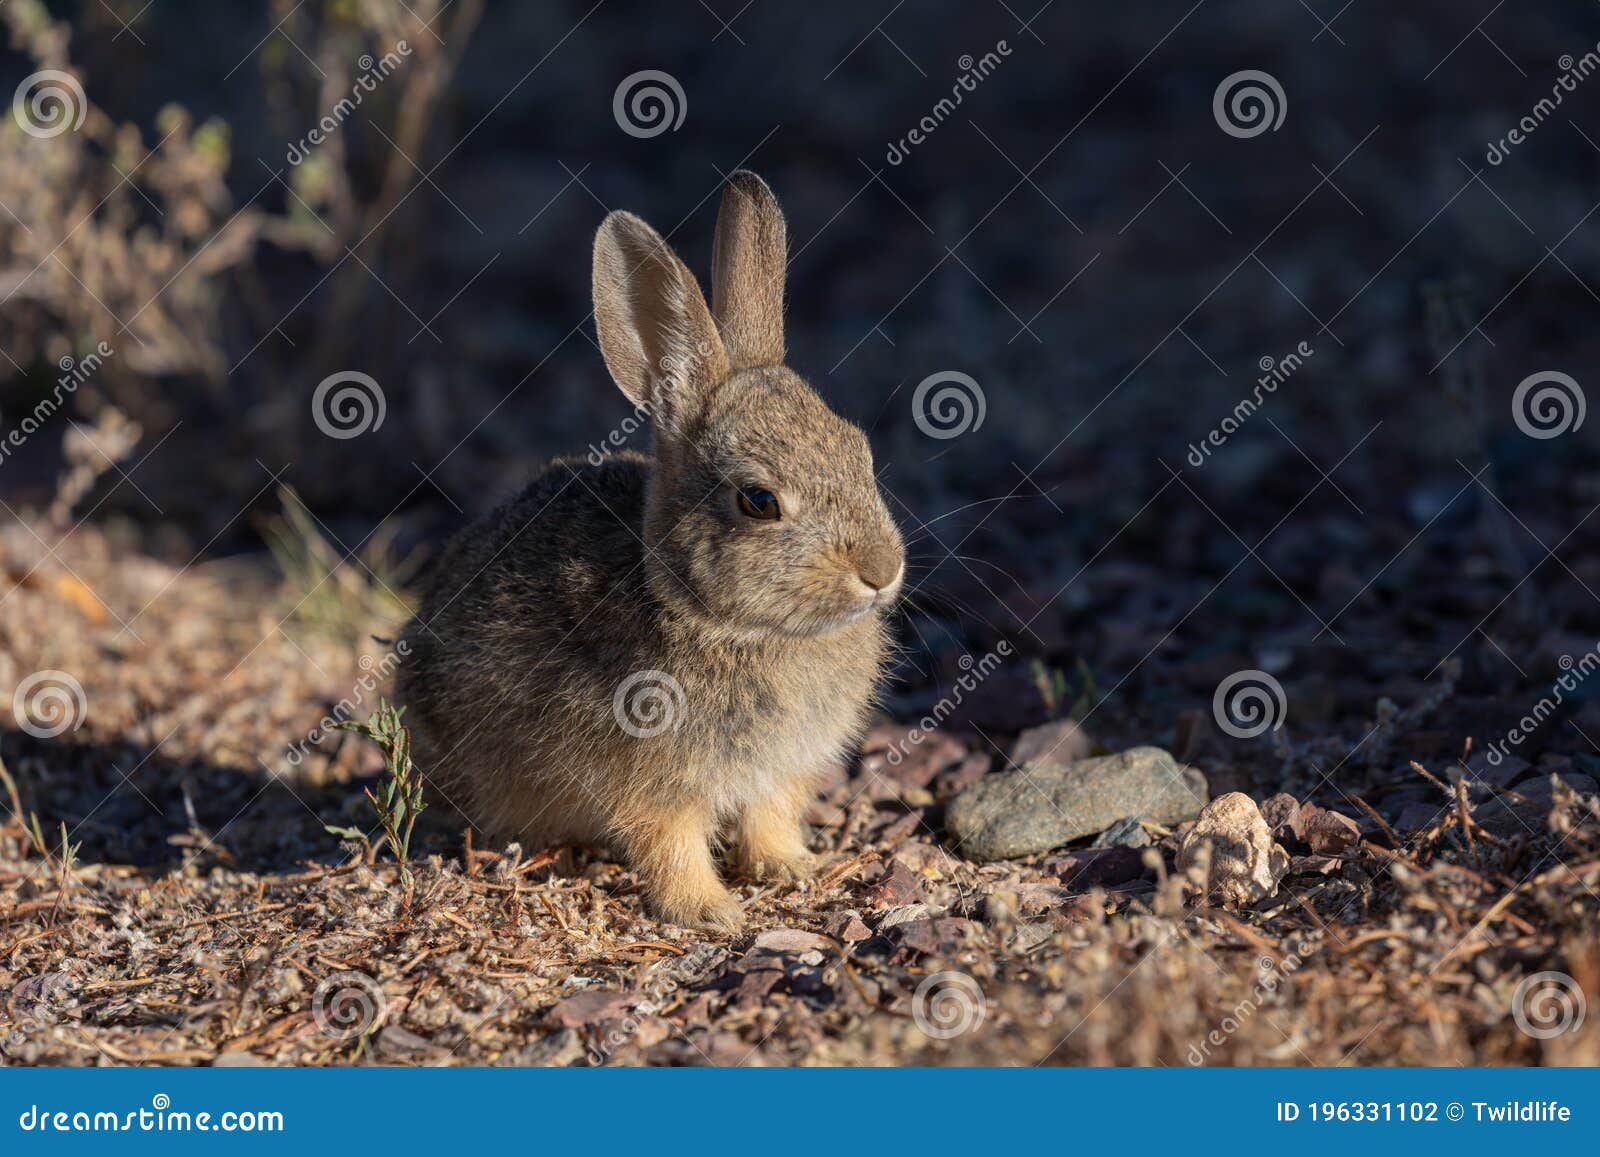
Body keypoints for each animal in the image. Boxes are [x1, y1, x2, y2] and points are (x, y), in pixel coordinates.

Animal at [396, 171, 905, 930]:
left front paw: (794, 868)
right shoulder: (649, 780)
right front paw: (710, 911)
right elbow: (668, 842)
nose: (881, 571)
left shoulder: (777, 773)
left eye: (860, 452)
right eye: (759, 500)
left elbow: (769, 818)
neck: (721, 620)